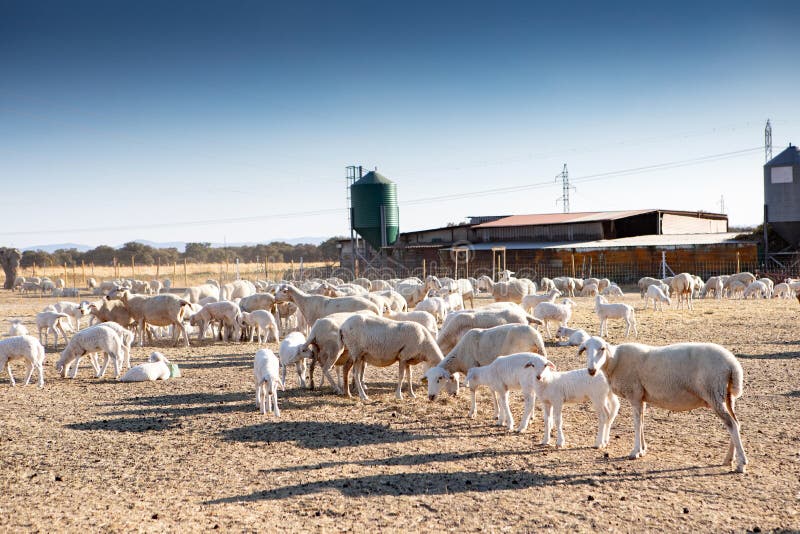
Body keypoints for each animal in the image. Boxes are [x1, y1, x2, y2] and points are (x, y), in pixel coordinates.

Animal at [580, 336, 748, 473]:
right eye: (586, 349)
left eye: (602, 349)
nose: (591, 370)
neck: (615, 362)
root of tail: (733, 364)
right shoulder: (641, 397)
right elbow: (642, 423)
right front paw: (643, 450)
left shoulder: (634, 394)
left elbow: (636, 424)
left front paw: (635, 452)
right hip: (726, 396)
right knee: (736, 424)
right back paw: (729, 459)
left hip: (714, 392)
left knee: (731, 424)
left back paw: (741, 464)